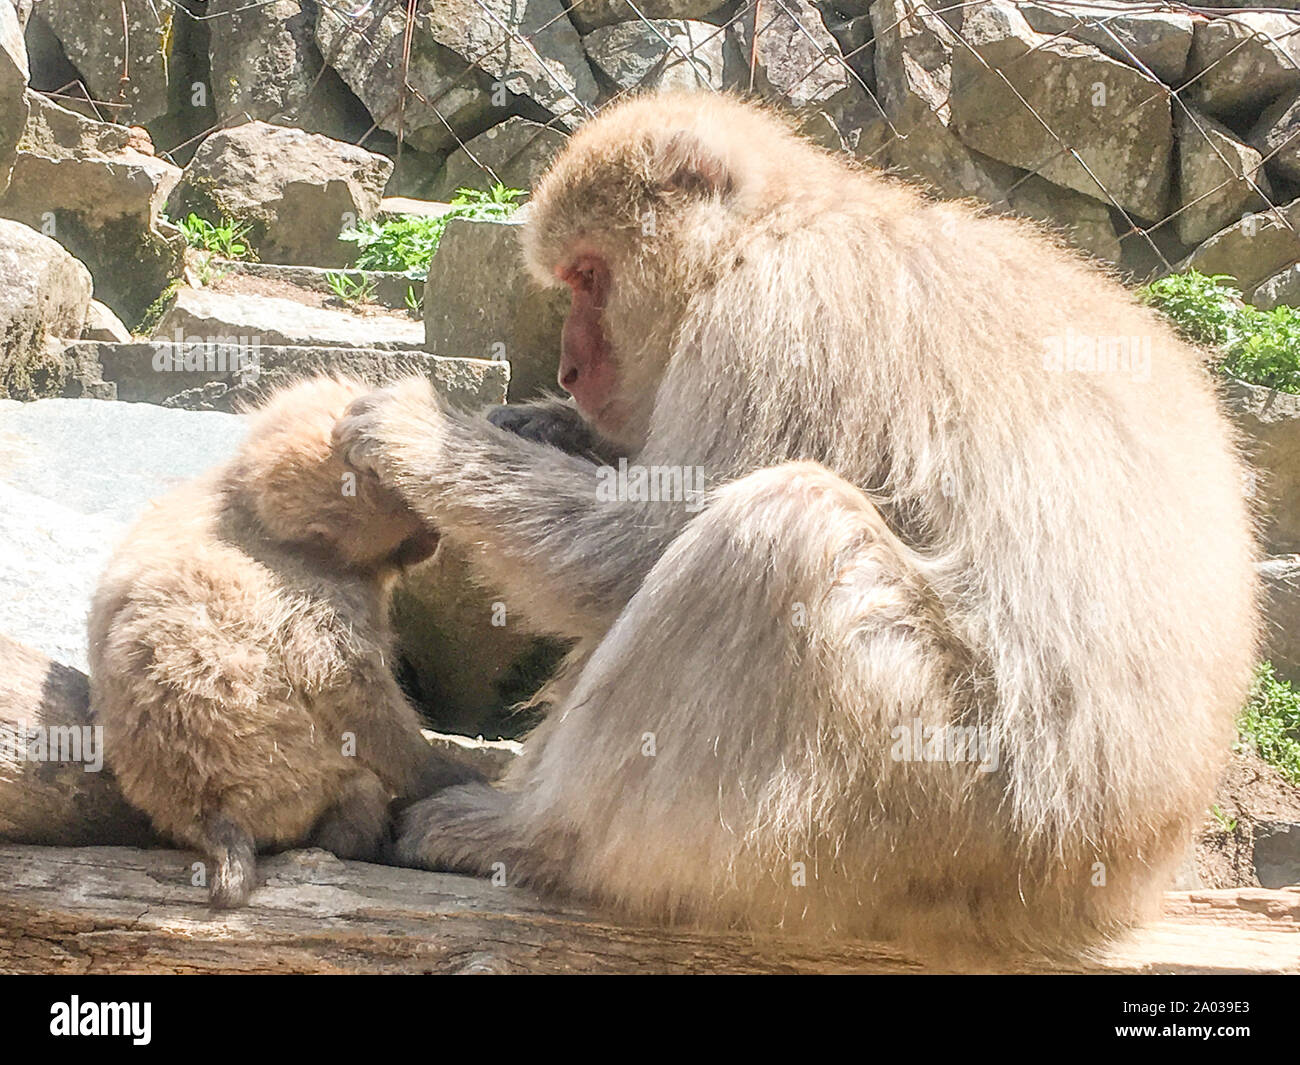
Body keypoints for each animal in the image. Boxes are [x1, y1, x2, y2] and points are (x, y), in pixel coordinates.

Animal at [88, 376, 476, 908]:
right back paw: (355, 838)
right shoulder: (327, 592)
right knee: (356, 787)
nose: (434, 538)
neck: (252, 506)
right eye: (409, 524)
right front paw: (441, 774)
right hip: (296, 790)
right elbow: (352, 694)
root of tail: (210, 814)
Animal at [333, 92, 1259, 956]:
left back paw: (540, 836)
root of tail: (1116, 882)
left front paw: (415, 432)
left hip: (946, 802)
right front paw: (541, 424)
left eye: (589, 275)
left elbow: (634, 550)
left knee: (778, 530)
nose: (567, 368)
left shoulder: (775, 320)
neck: (774, 225)